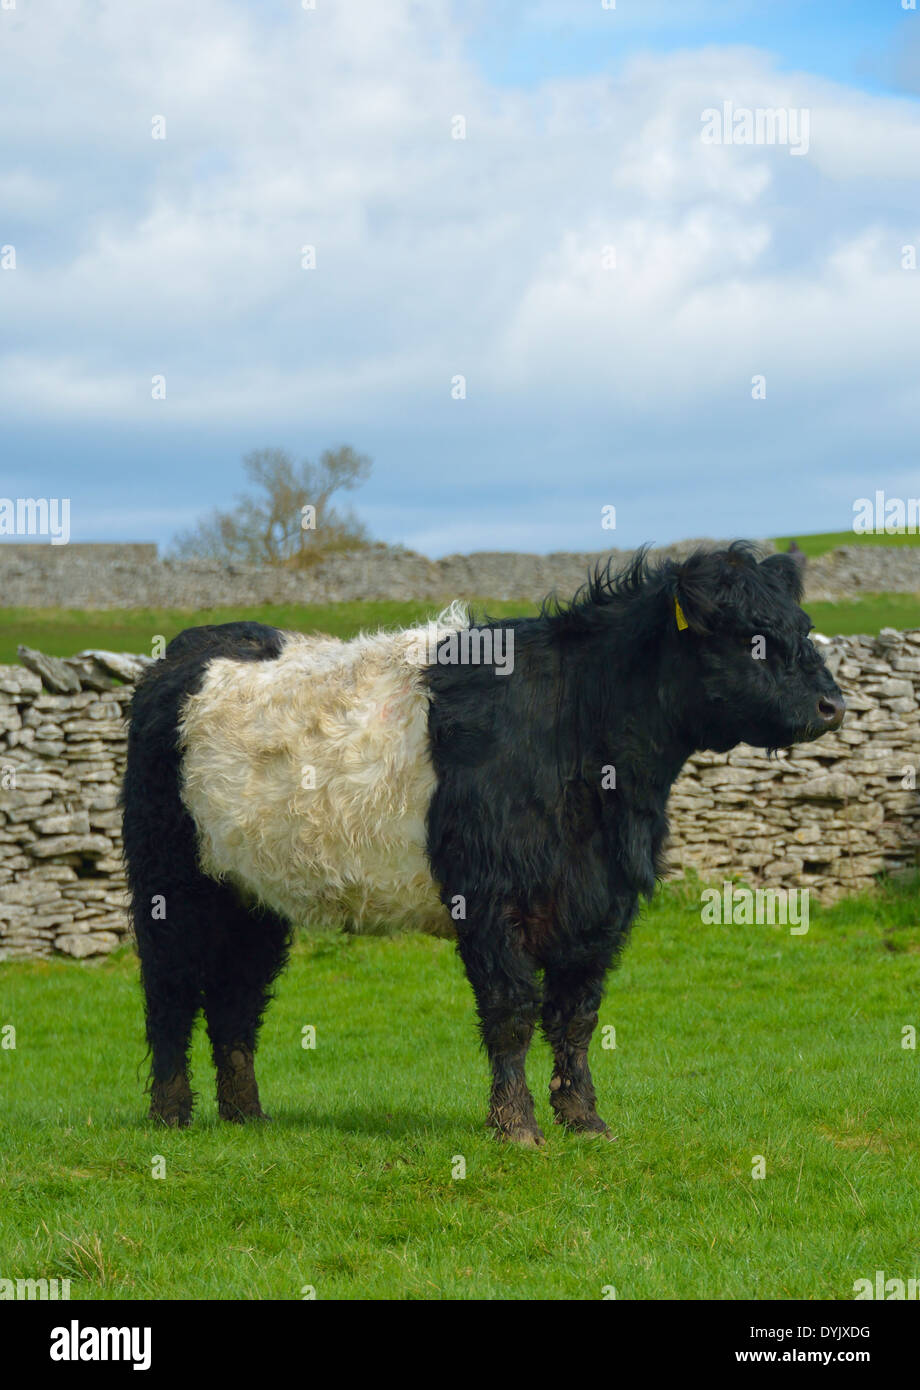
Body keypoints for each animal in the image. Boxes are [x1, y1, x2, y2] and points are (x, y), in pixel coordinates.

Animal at [122, 543, 844, 1144]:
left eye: (801, 623)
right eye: (750, 635)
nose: (832, 705)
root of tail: (197, 646)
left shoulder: (602, 904)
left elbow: (576, 1016)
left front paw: (585, 1120)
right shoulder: (491, 897)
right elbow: (512, 1009)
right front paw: (516, 1126)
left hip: (251, 892)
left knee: (237, 997)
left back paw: (246, 1113)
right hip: (169, 880)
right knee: (170, 989)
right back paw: (170, 1114)